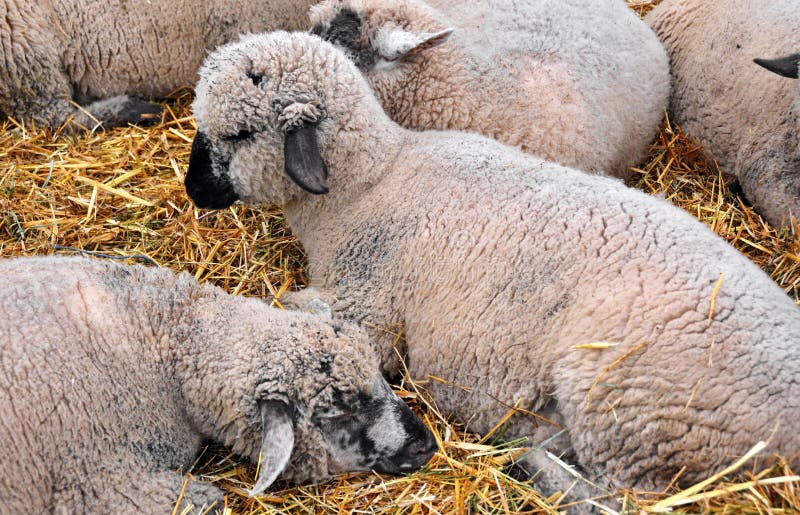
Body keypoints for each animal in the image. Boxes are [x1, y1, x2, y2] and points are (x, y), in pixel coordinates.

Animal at [183, 32, 800, 499]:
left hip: (630, 408)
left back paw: (530, 458)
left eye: (239, 134)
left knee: (615, 496)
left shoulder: (370, 308)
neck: (369, 184)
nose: (192, 189)